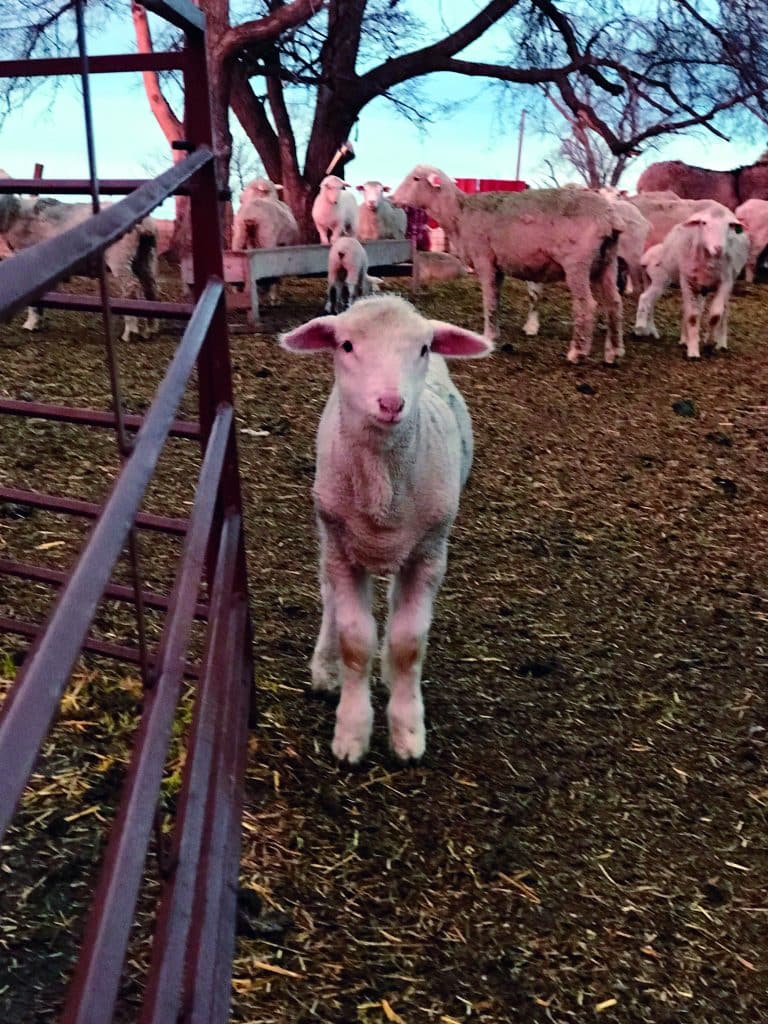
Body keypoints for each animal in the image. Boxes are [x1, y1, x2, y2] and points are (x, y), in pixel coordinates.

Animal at [0, 192, 158, 342]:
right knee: (150, 288)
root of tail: (145, 224)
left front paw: (30, 324)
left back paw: (130, 332)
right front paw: (37, 322)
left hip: (120, 259)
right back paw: (149, 330)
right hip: (144, 257)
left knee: (131, 288)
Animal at [279, 294, 492, 764]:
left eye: (423, 348)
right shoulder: (341, 549)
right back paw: (325, 668)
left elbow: (408, 641)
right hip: (329, 535)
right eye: (346, 345)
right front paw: (351, 734)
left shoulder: (429, 553)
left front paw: (408, 732)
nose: (392, 403)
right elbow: (355, 640)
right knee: (329, 598)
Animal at [391, 165, 624, 364]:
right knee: (614, 302)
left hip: (577, 263)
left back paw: (578, 352)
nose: (392, 199)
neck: (459, 214)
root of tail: (609, 217)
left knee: (587, 304)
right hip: (607, 262)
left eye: (416, 178)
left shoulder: (484, 260)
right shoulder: (498, 266)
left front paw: (488, 335)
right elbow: (495, 298)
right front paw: (495, 332)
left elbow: (488, 300)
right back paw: (613, 352)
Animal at [633, 203, 749, 358]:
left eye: (729, 225)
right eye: (704, 223)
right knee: (650, 299)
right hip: (663, 281)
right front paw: (693, 351)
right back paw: (644, 329)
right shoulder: (687, 281)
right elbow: (692, 316)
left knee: (724, 311)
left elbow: (715, 315)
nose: (718, 248)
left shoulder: (725, 282)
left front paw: (708, 343)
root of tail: (644, 259)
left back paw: (721, 344)